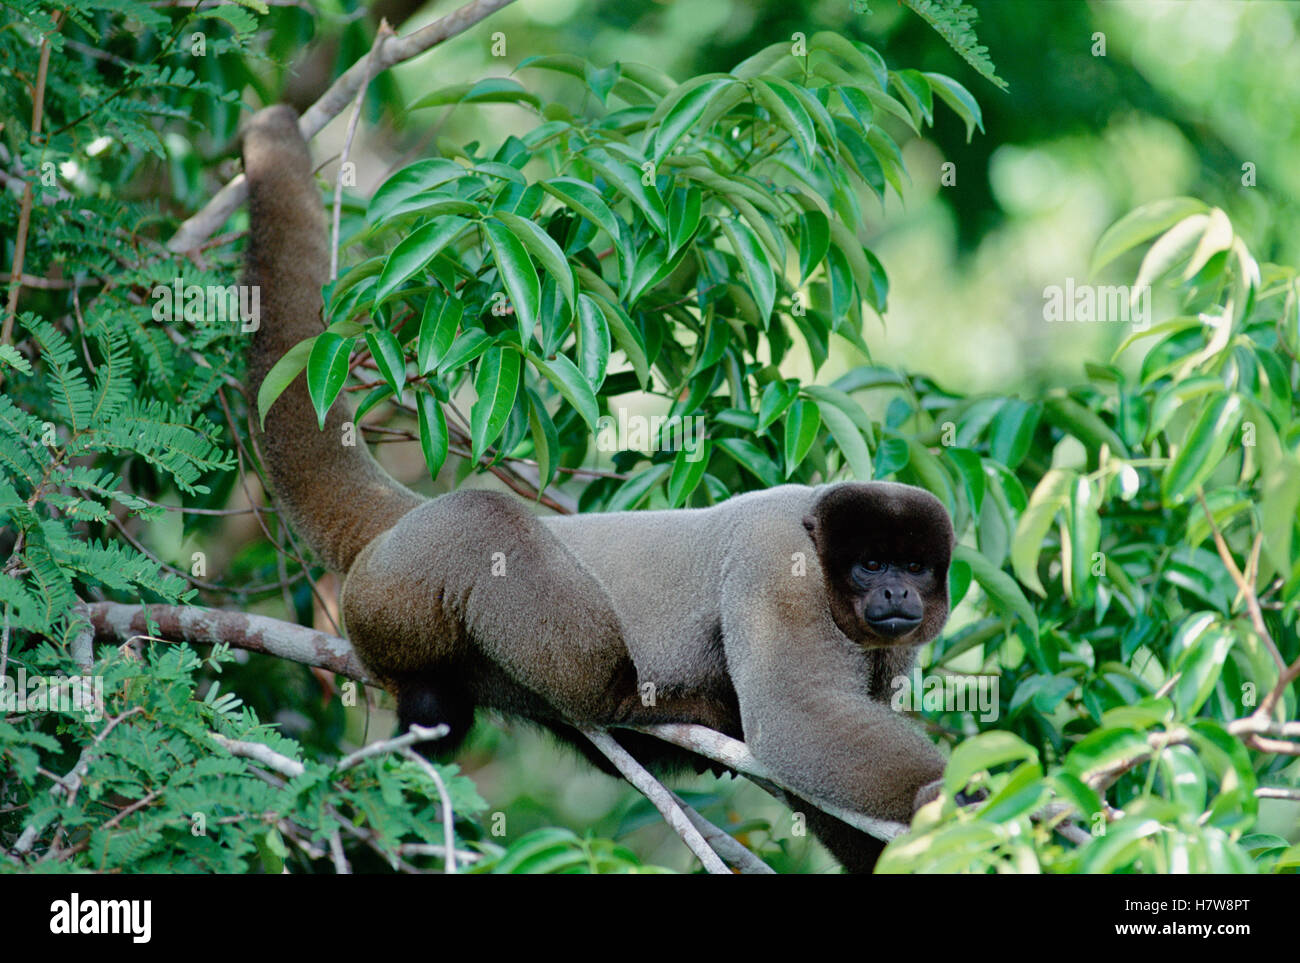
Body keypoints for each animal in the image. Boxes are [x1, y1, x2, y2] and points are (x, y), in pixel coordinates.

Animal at [240, 105, 954, 873]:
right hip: (391, 589)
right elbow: (796, 719)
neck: (821, 544)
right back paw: (638, 699)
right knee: (485, 525)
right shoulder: (781, 571)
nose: (896, 593)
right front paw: (946, 793)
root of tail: (403, 520)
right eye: (870, 564)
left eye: (913, 566)